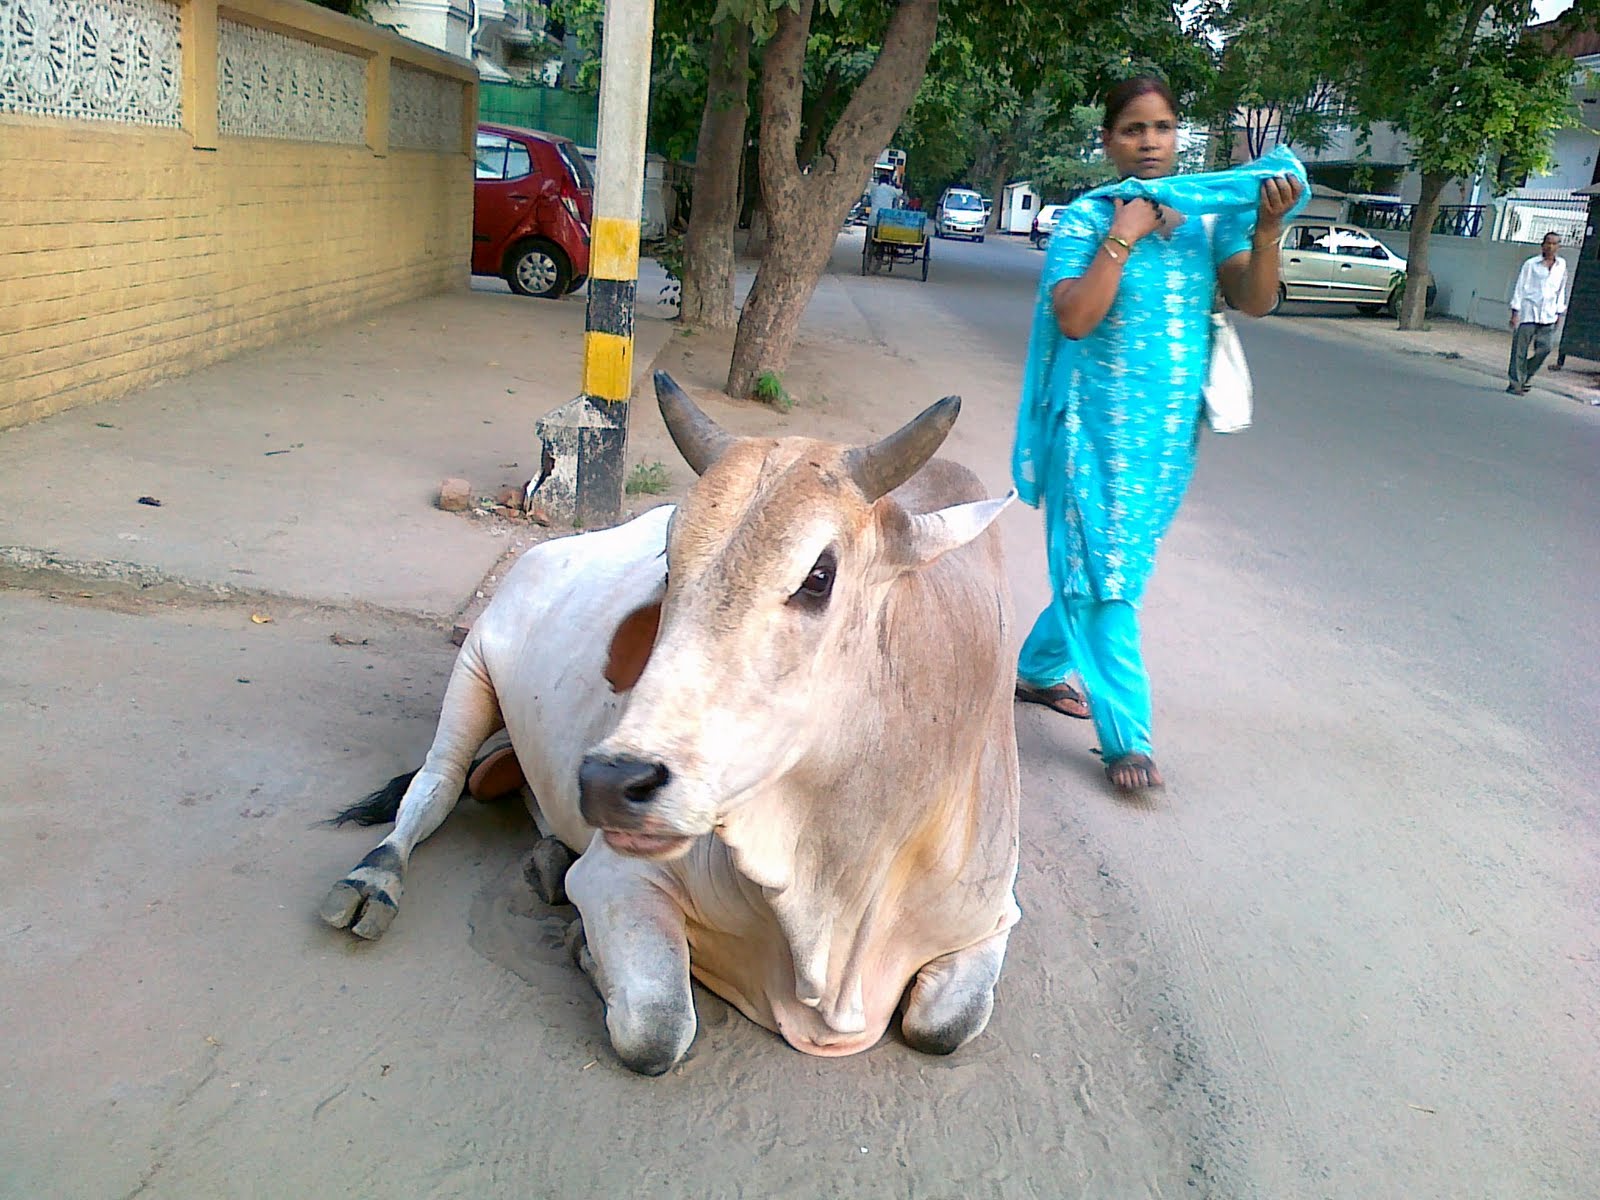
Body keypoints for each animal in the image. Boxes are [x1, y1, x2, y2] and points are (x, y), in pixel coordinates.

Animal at [320, 372, 1021, 1075]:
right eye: (667, 563)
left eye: (820, 575)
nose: (610, 782)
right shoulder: (617, 877)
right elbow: (657, 1030)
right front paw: (583, 945)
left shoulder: (993, 920)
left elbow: (943, 1026)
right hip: (474, 667)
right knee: (433, 788)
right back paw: (374, 879)